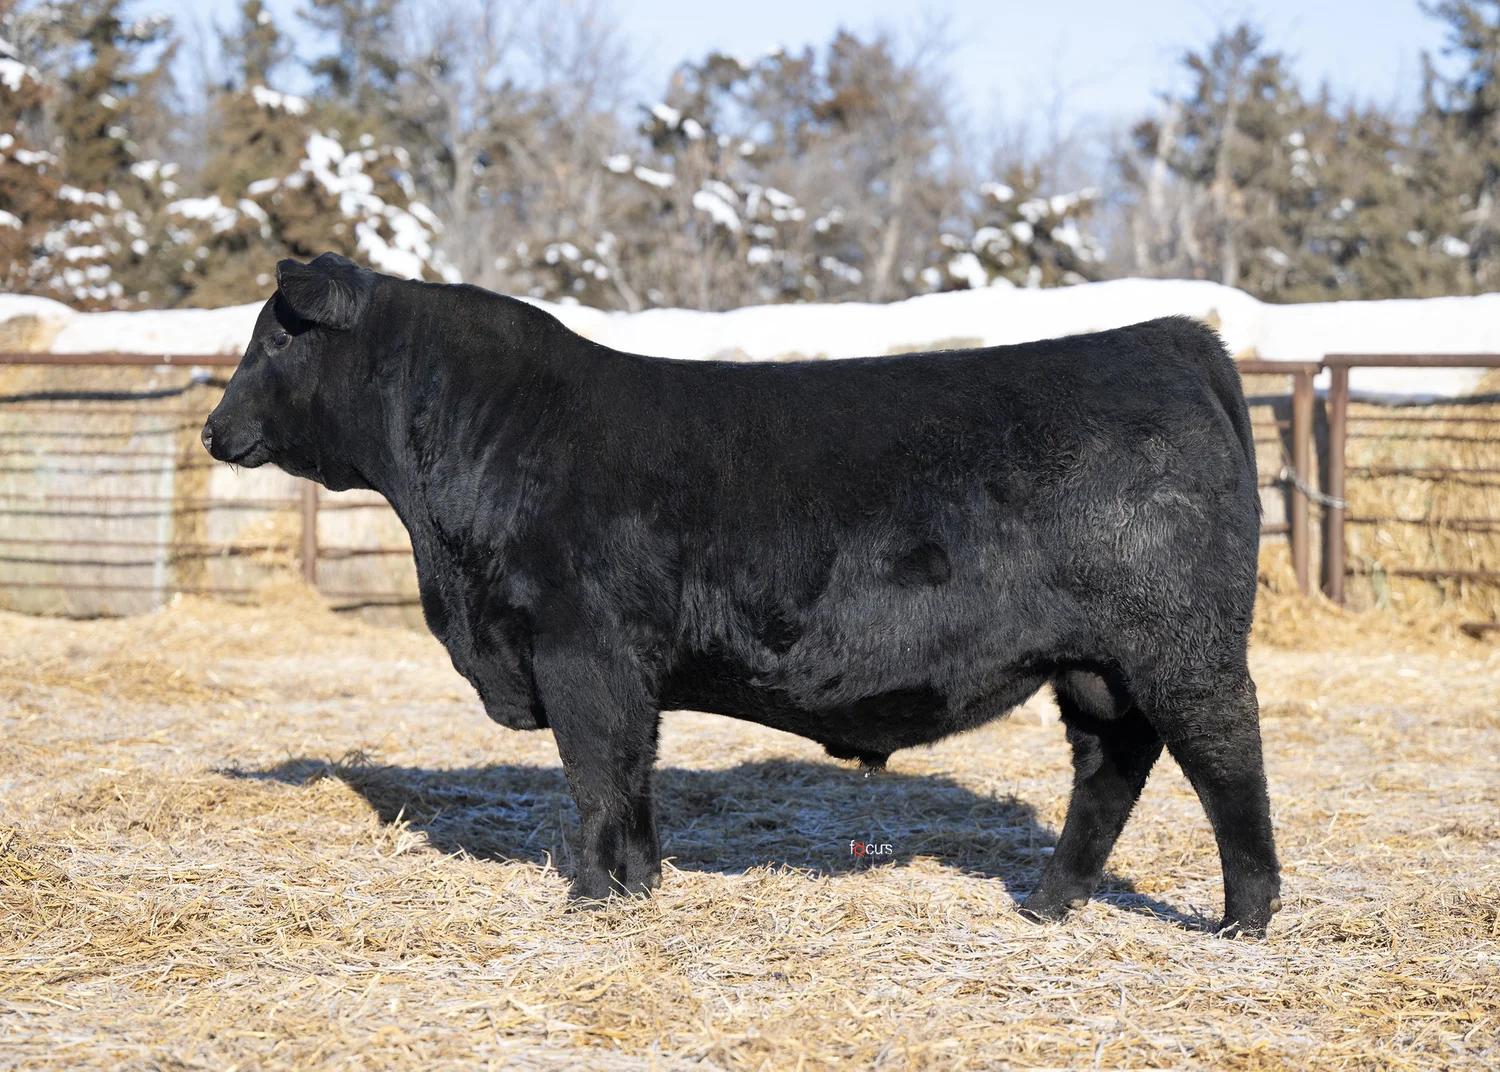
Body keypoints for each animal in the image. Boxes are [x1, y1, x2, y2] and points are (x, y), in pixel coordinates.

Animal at [202, 252, 1281, 937]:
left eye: (275, 342)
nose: (212, 428)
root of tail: (1170, 340)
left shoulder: (579, 651)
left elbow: (595, 777)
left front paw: (588, 900)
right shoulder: (623, 670)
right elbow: (634, 781)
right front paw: (639, 889)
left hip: (1181, 648)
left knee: (1230, 765)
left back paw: (1246, 919)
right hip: (1095, 668)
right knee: (1110, 770)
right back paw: (1050, 902)